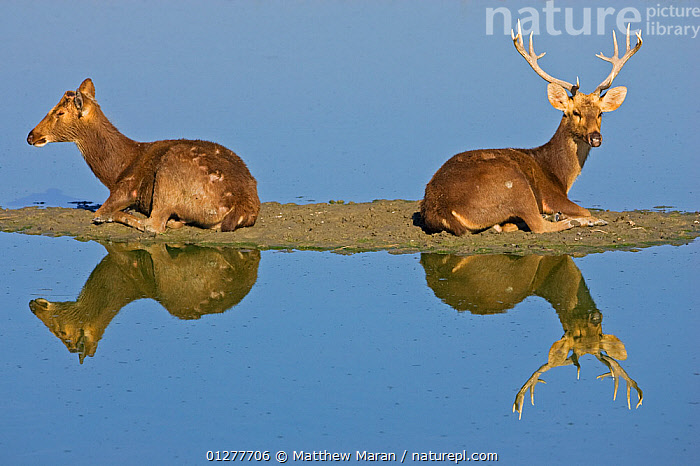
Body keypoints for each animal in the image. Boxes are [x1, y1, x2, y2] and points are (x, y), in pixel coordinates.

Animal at [27, 78, 260, 234]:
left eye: (59, 112)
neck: (116, 171)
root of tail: (242, 209)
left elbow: (101, 211)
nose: (31, 135)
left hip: (168, 178)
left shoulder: (124, 190)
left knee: (153, 226)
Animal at [420, 23, 642, 234]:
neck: (559, 174)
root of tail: (442, 210)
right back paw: (574, 220)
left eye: (600, 113)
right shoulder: (551, 195)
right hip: (516, 185)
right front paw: (571, 216)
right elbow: (584, 209)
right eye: (575, 112)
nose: (595, 138)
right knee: (538, 226)